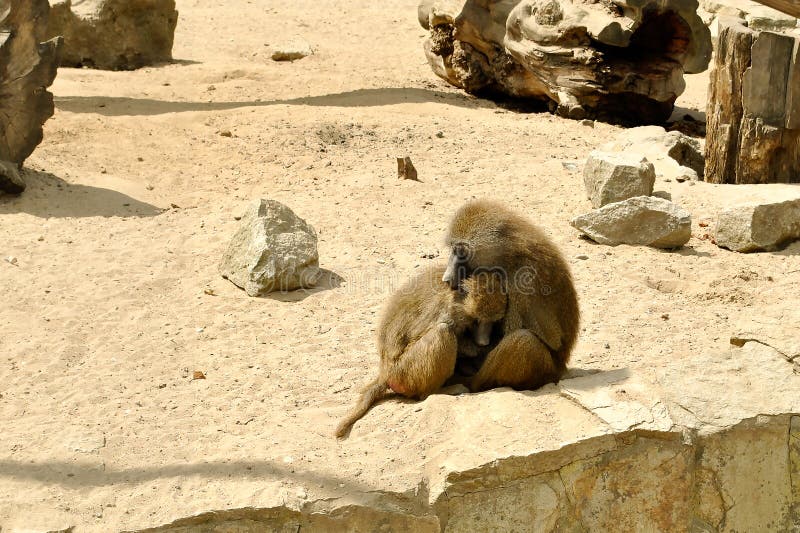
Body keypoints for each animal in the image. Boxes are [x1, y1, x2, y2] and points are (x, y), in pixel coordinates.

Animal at [335, 265, 507, 438]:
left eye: (493, 321)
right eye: (476, 321)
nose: (484, 341)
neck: (457, 298)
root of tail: (385, 372)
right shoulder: (445, 310)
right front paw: (475, 350)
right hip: (405, 372)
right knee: (442, 331)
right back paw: (440, 390)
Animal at [442, 199, 580, 392]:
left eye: (461, 252)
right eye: (453, 250)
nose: (446, 279)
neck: (507, 256)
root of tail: (561, 368)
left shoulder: (522, 283)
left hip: (546, 371)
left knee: (524, 341)